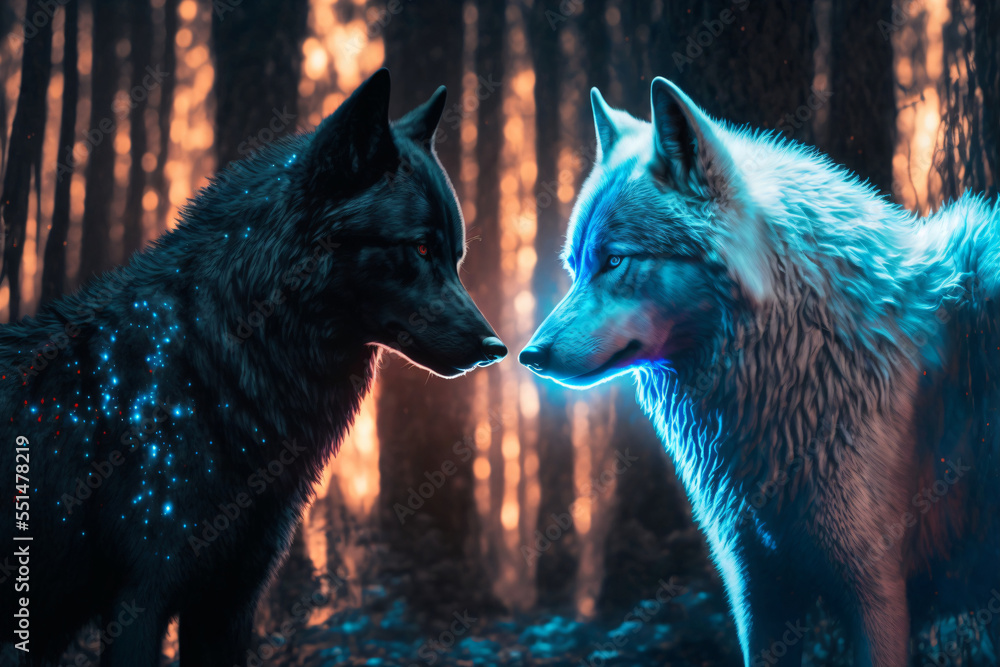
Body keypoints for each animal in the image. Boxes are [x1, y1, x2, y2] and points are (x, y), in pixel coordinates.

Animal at [0, 68, 506, 665]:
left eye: (456, 256)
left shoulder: (231, 603)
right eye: (421, 248)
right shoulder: (138, 599)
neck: (212, 363)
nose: (496, 346)